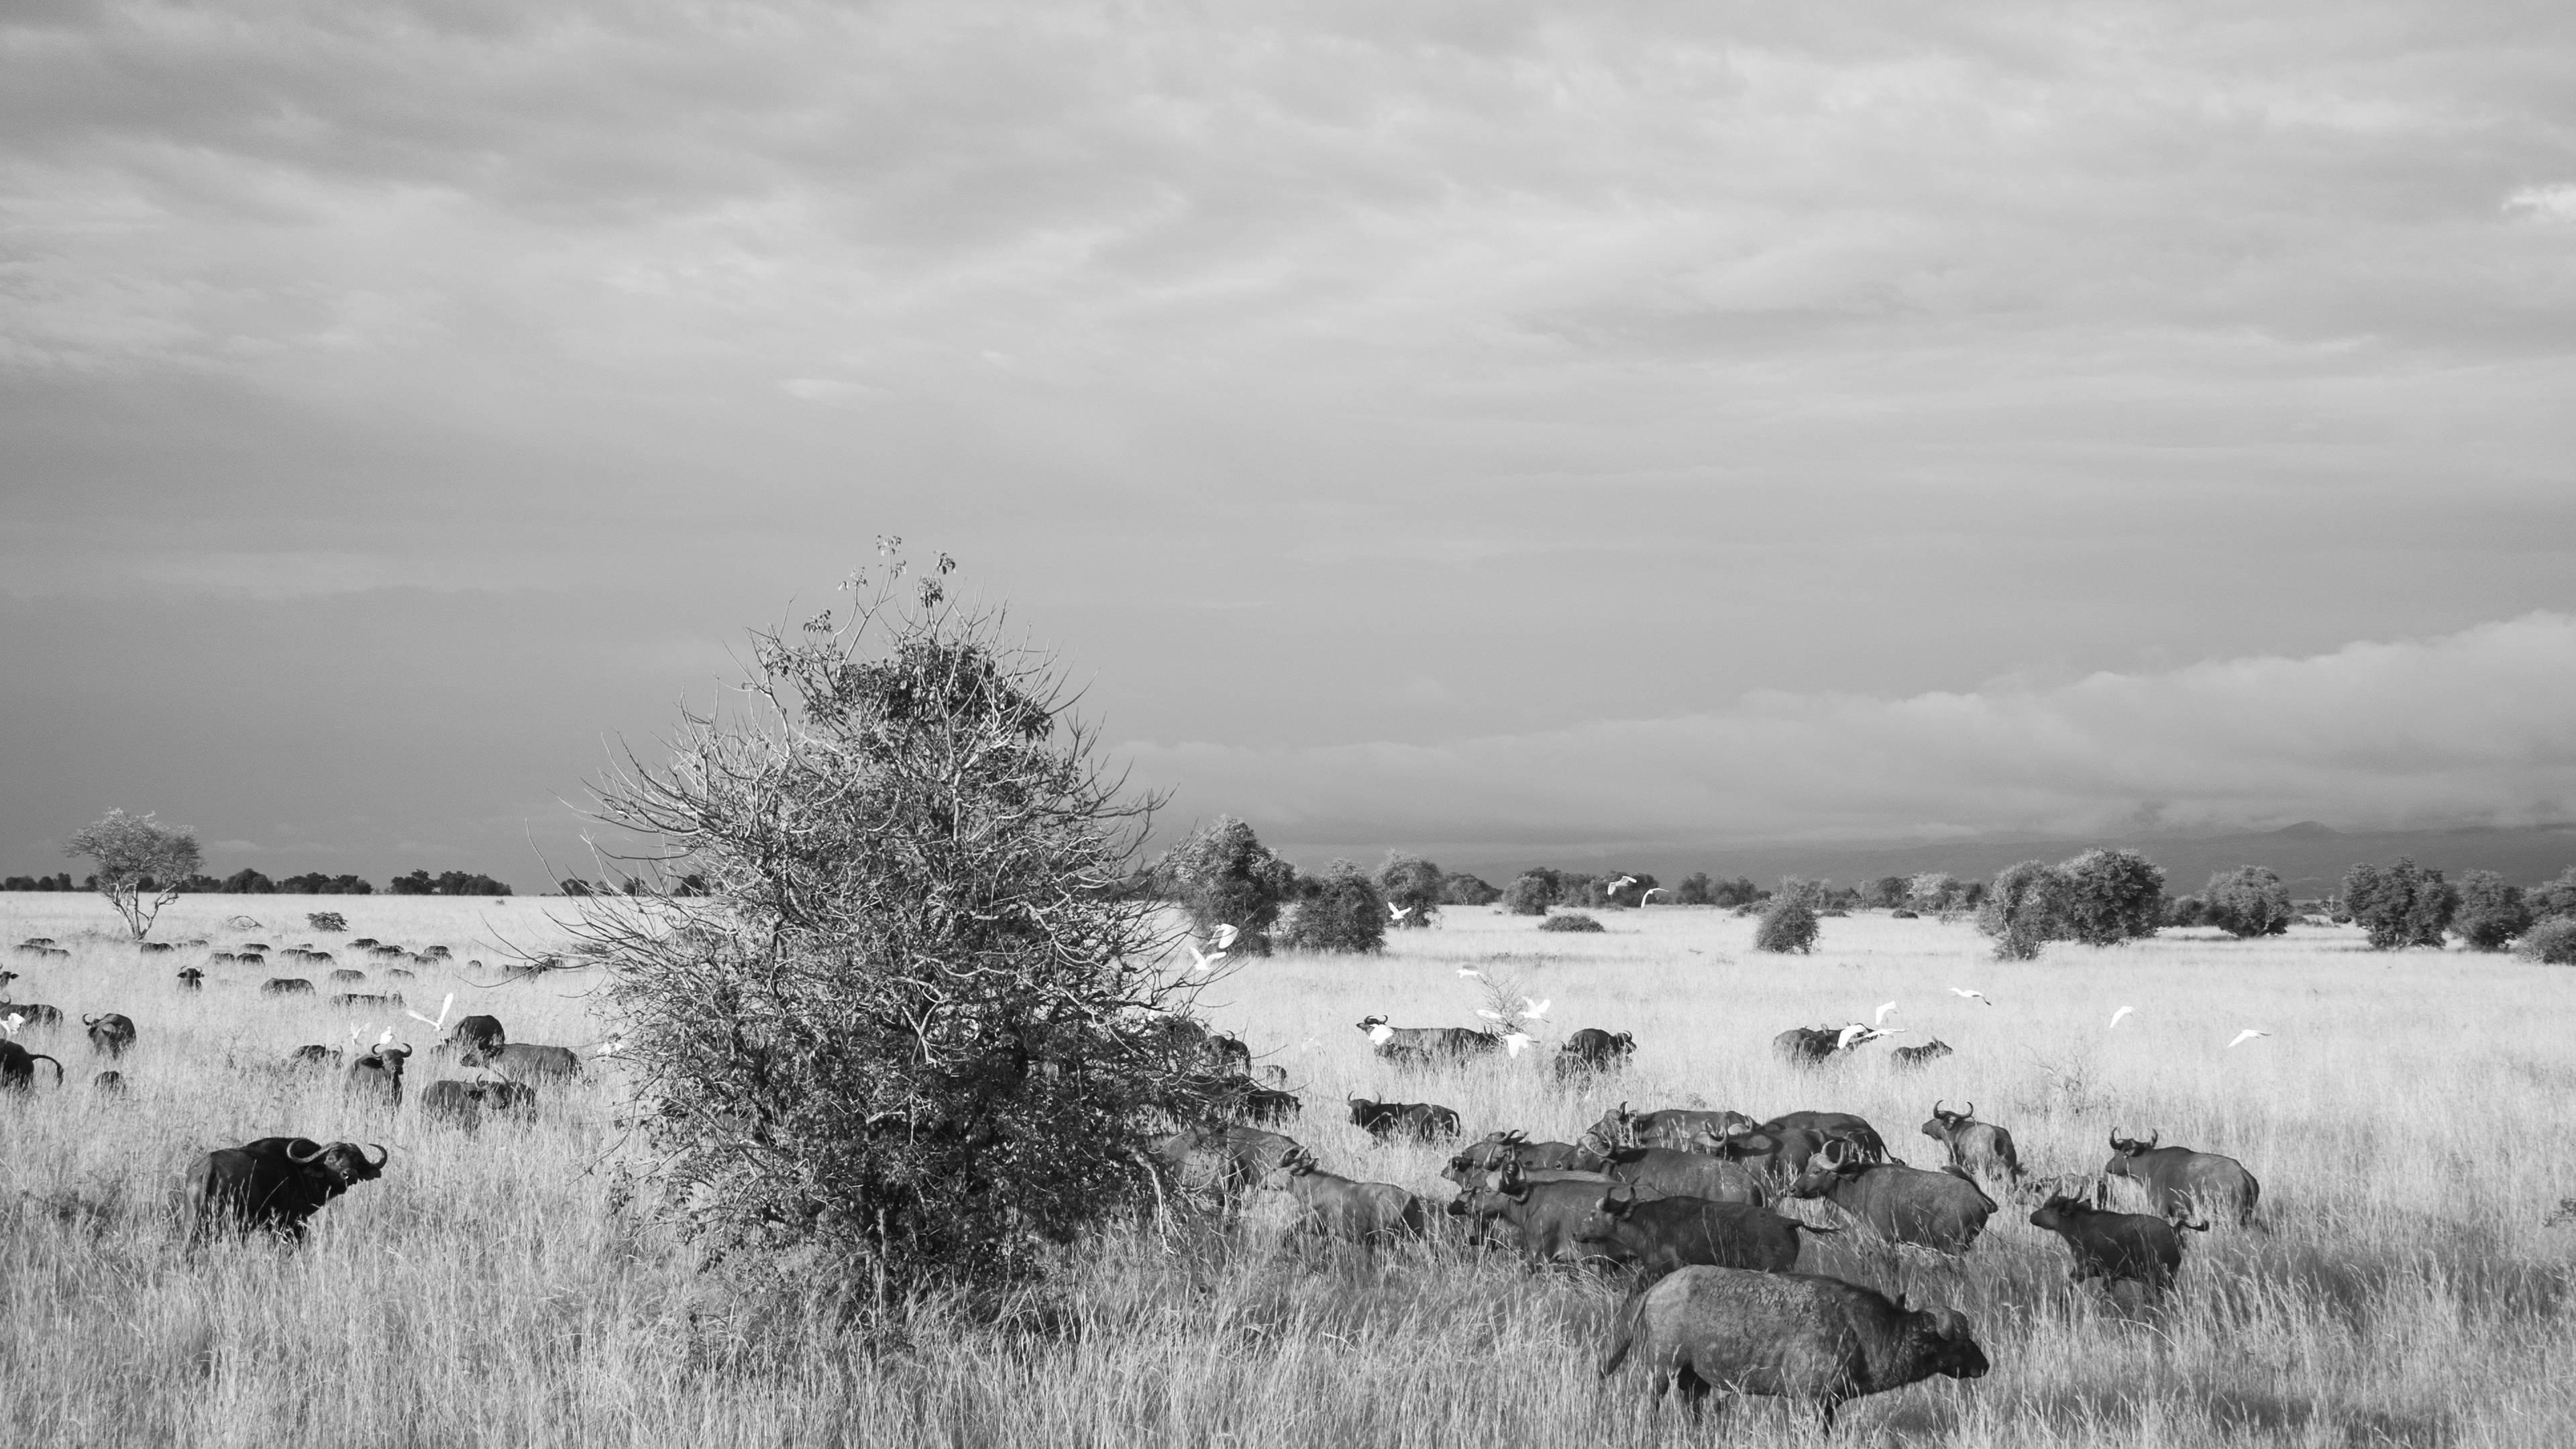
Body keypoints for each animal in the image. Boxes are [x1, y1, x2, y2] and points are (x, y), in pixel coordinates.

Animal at [177, 1137, 388, 1247]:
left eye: (356, 1161)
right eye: (332, 1158)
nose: (349, 1174)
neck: (300, 1170)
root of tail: (210, 1166)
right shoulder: (290, 1223)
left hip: (192, 1224)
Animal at [1598, 1265, 1989, 1428]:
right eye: (1960, 1340)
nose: (1984, 1365)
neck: (1861, 1332)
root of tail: (1660, 1286)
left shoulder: (1829, 1406)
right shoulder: (1811, 1401)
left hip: (1695, 1377)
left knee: (1691, 1405)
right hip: (1663, 1366)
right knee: (1652, 1402)